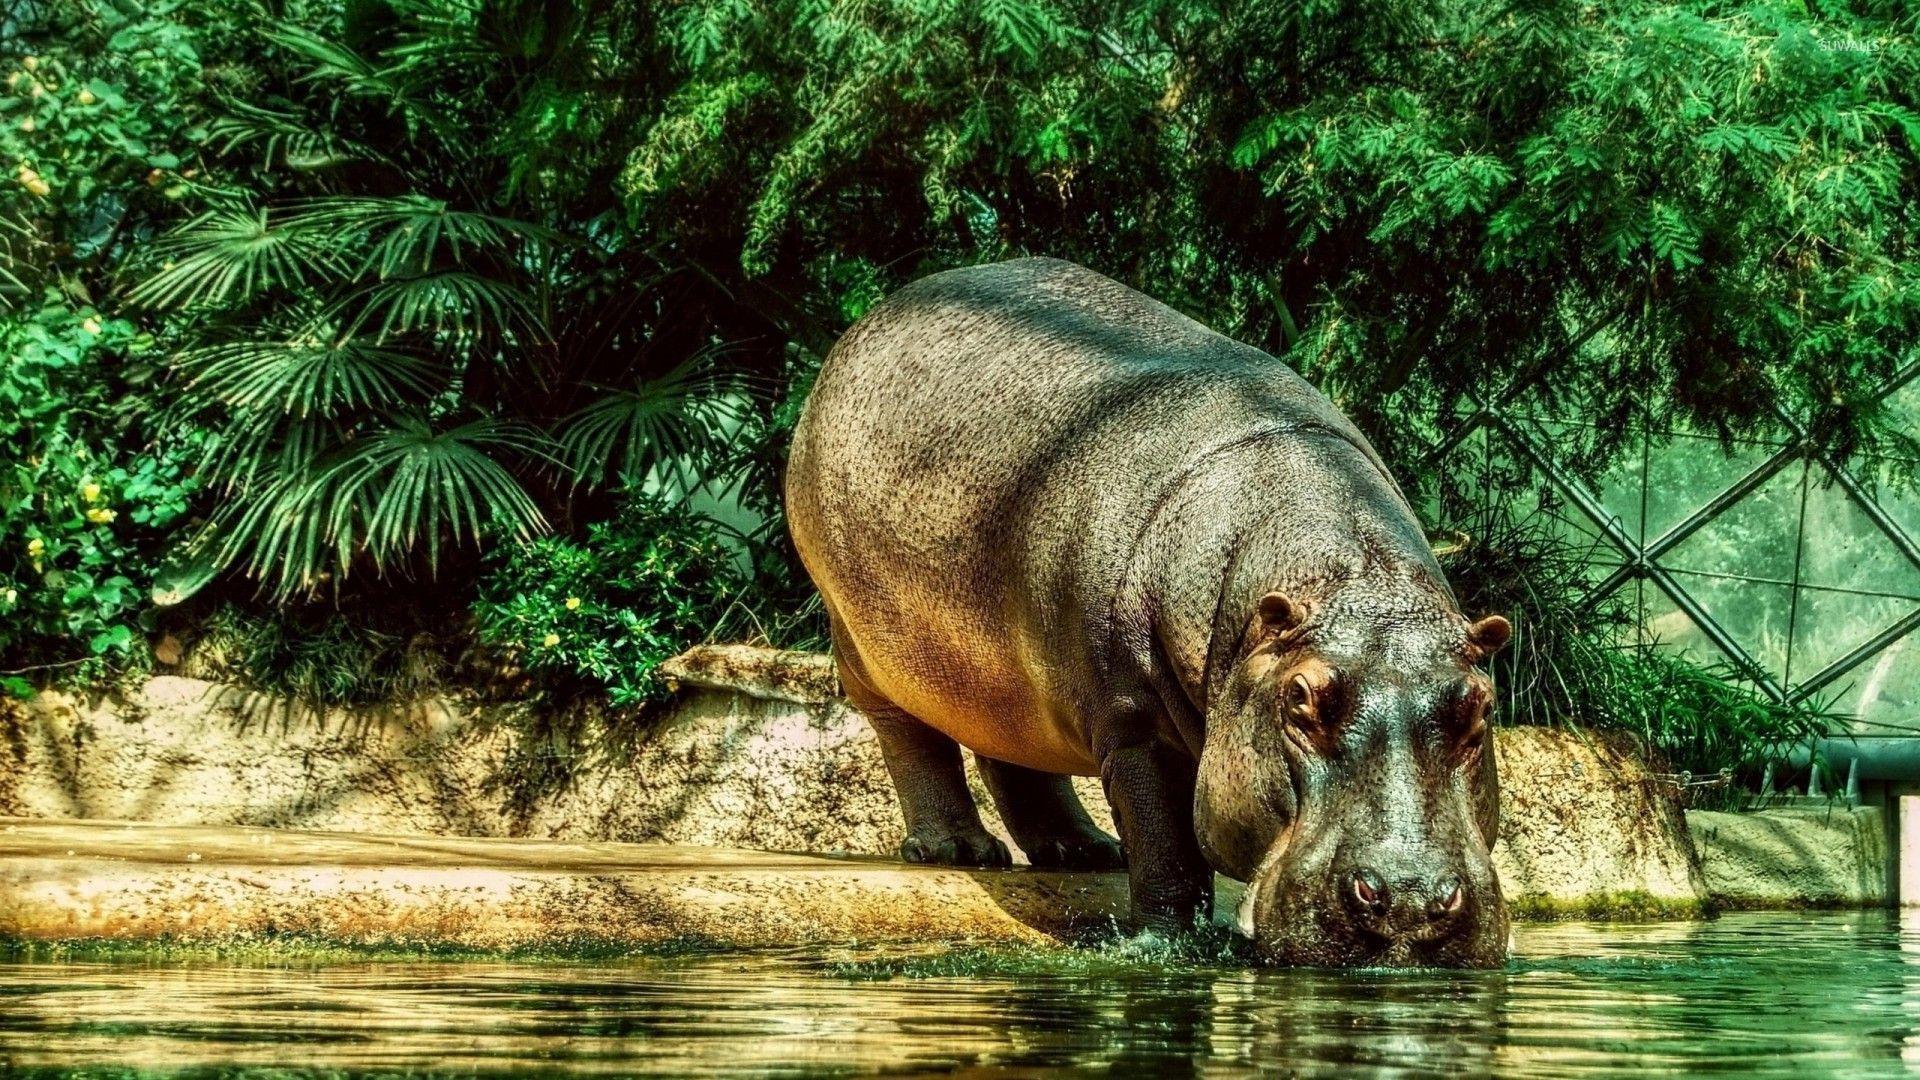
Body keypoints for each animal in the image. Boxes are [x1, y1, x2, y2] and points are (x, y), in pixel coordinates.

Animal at [784, 258, 1512, 967]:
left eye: (1481, 707)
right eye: (1300, 699)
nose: (1408, 901)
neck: (1349, 582)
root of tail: (871, 321)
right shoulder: (1134, 723)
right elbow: (1164, 844)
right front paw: (1168, 944)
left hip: (1002, 669)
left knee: (1010, 752)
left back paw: (1084, 852)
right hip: (865, 643)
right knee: (911, 738)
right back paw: (959, 850)